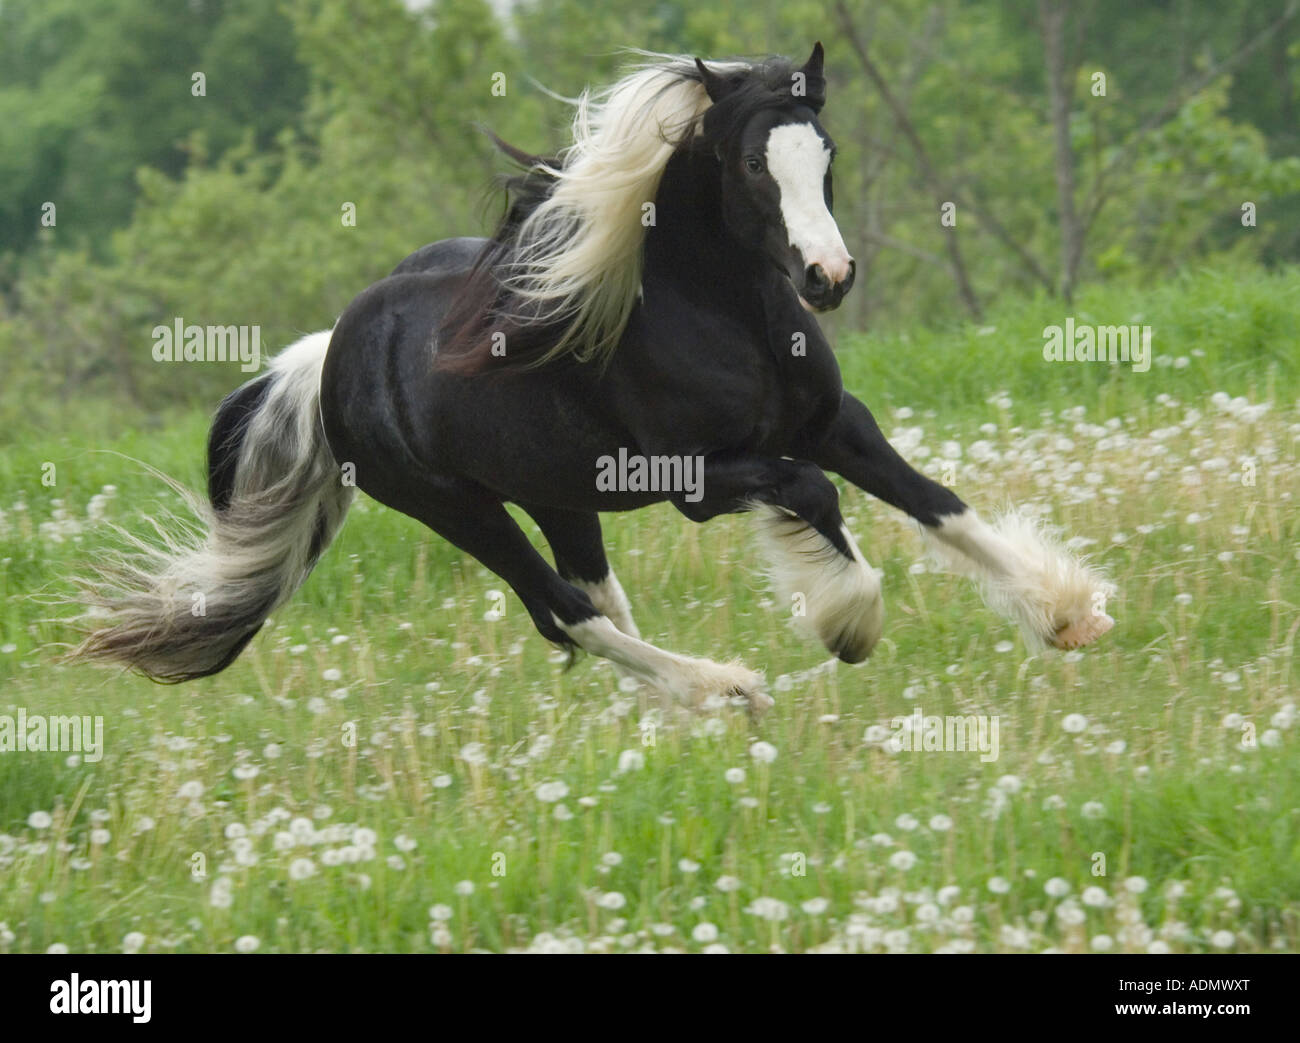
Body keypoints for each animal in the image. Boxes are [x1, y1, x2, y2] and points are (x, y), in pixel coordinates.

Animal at [72, 44, 1115, 715]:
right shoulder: (698, 478)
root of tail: (327, 356)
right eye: (751, 162)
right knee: (562, 612)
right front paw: (847, 621)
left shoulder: (833, 421)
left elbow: (935, 501)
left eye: (823, 152)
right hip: (460, 508)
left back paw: (669, 706)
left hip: (558, 491)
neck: (724, 314)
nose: (828, 276)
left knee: (592, 604)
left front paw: (1066, 612)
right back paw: (721, 688)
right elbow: (816, 497)